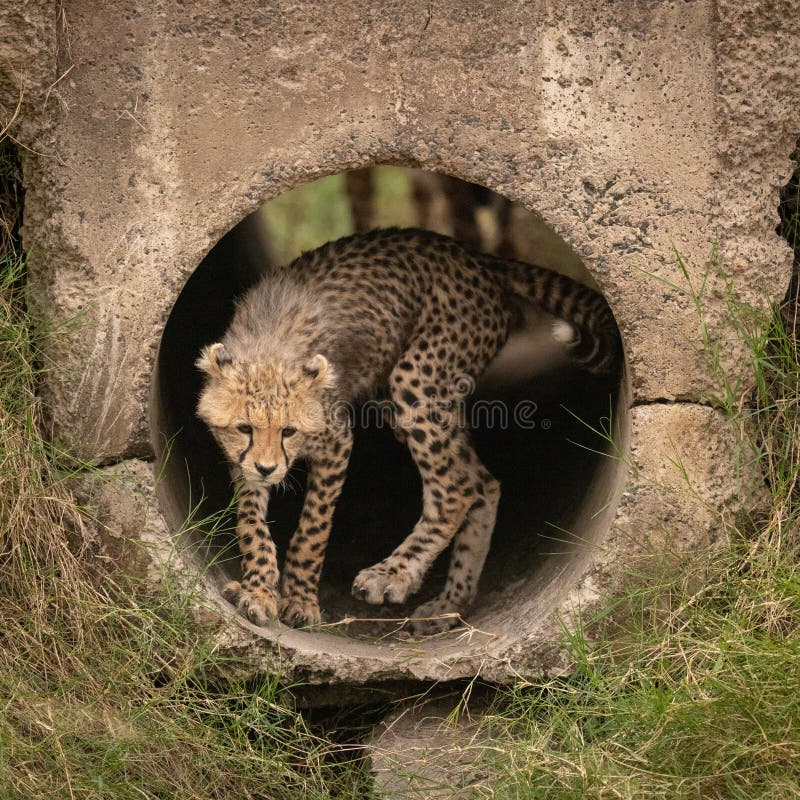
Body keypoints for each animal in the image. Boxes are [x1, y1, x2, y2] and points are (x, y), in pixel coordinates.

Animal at [196, 227, 620, 635]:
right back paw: (449, 605)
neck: (268, 349)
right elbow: (250, 524)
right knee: (482, 482)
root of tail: (473, 256)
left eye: (288, 431)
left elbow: (312, 529)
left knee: (456, 488)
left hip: (415, 380)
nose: (268, 469)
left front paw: (299, 600)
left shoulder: (337, 442)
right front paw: (258, 590)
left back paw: (392, 575)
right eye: (244, 428)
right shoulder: (242, 462)